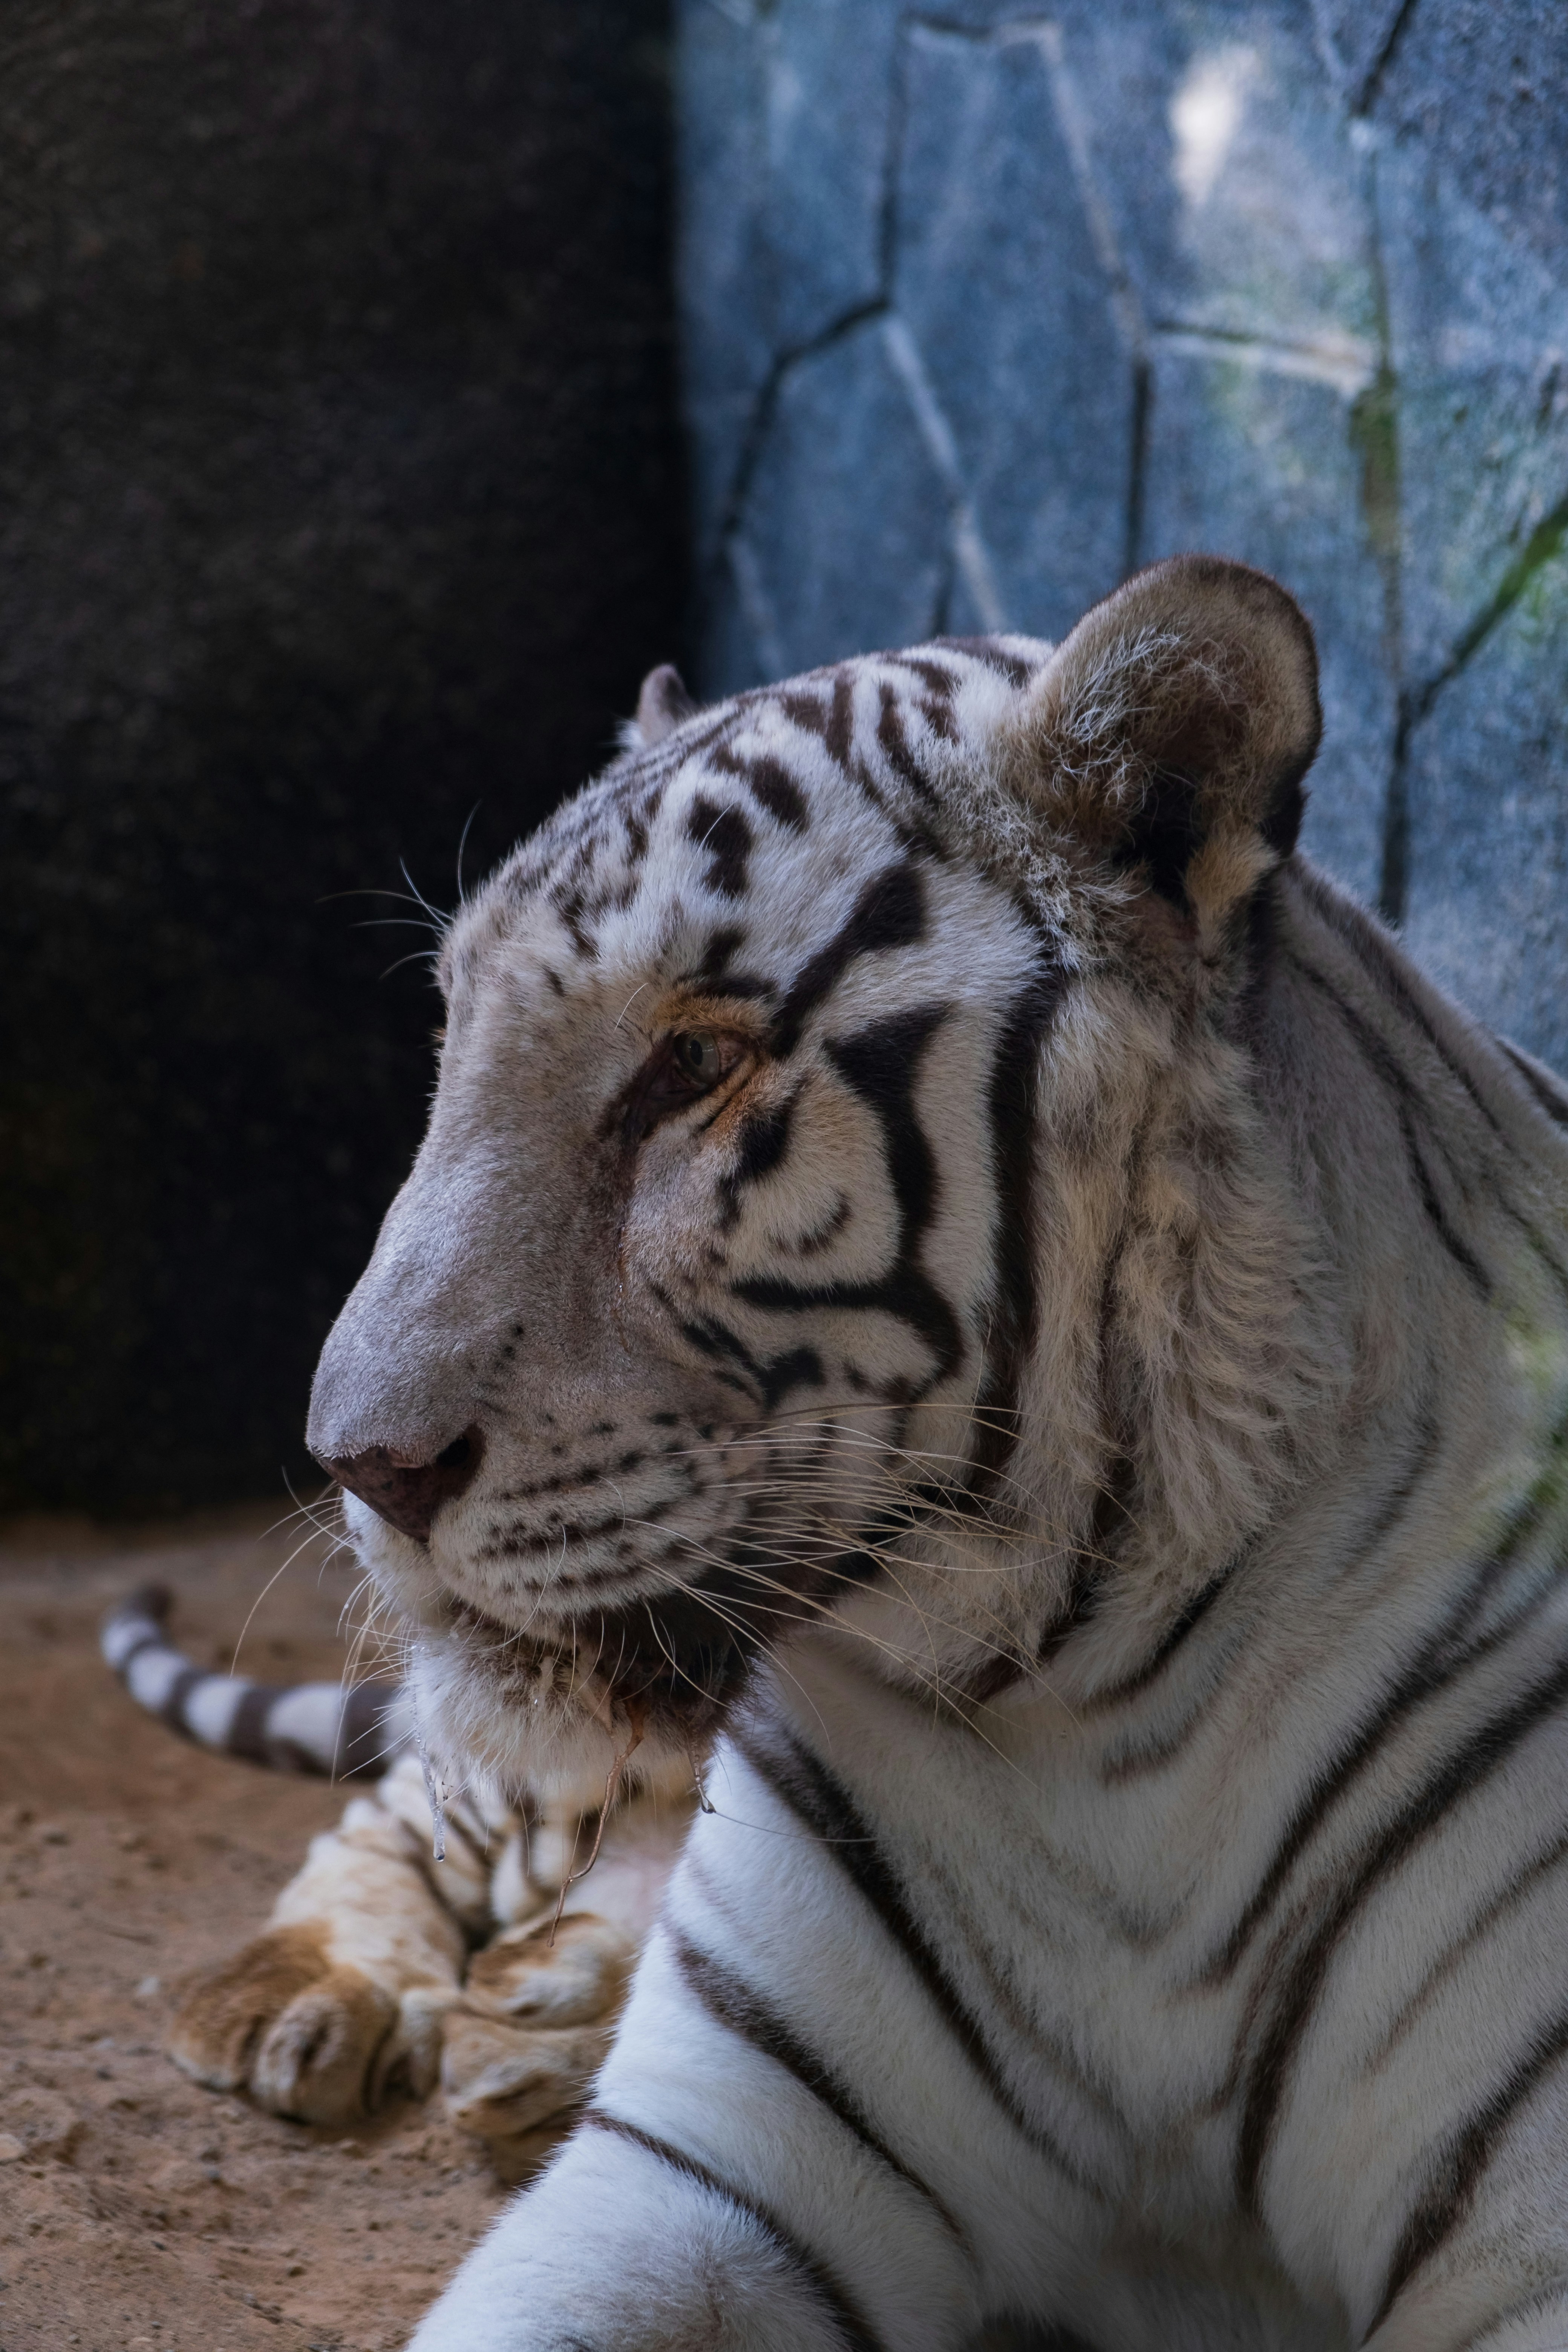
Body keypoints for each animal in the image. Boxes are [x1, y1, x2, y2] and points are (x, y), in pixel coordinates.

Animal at [171, 551, 1568, 2350]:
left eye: (695, 1062)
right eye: (448, 1048)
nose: (358, 1463)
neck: (1088, 1709)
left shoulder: (1529, 2230)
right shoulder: (717, 2171)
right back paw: (308, 2003)